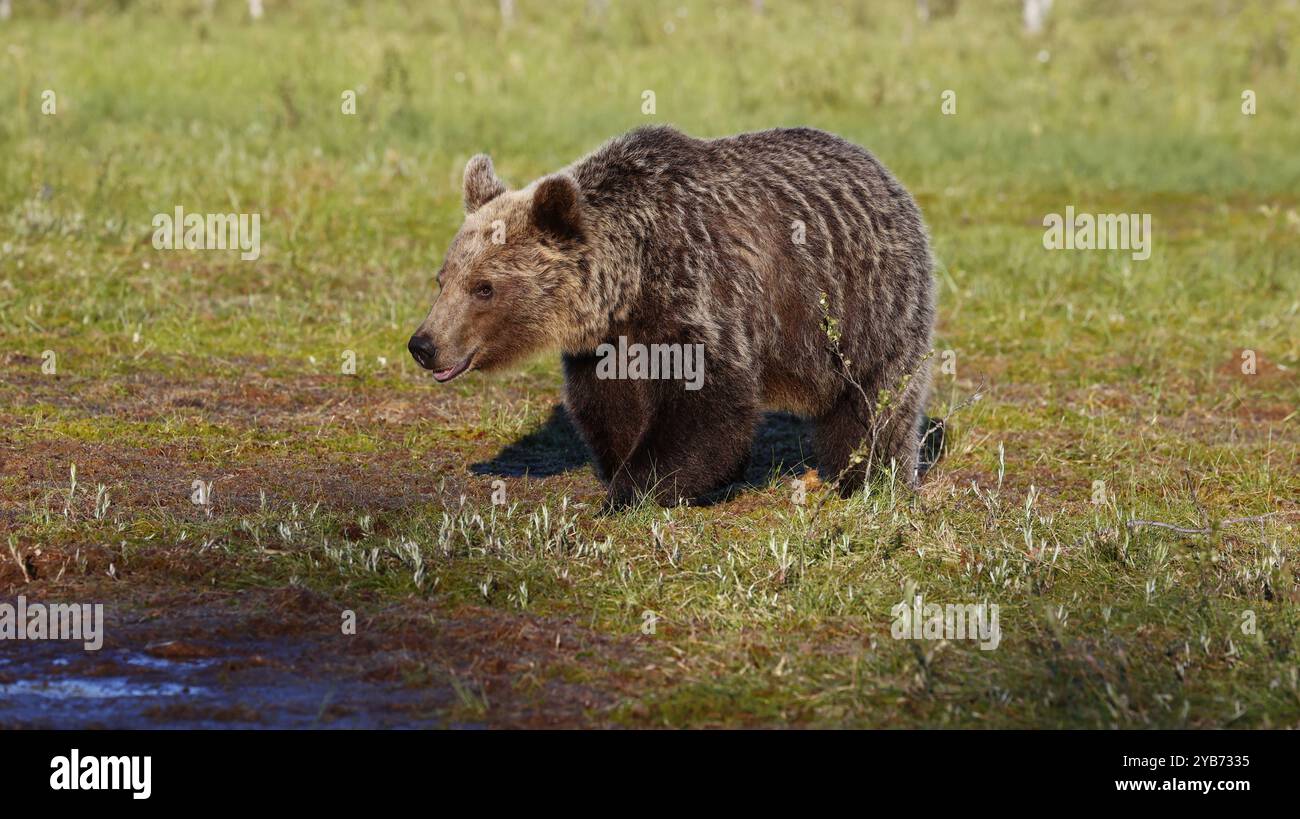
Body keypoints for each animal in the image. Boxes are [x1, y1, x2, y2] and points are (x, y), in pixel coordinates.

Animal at [408, 125, 937, 506]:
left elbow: (706, 409)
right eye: (442, 278)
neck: (632, 278)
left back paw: (870, 478)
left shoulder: (700, 295)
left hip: (866, 303)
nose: (424, 344)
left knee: (874, 402)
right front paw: (621, 468)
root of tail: (882, 171)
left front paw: (636, 489)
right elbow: (609, 405)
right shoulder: (608, 342)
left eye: (484, 288)